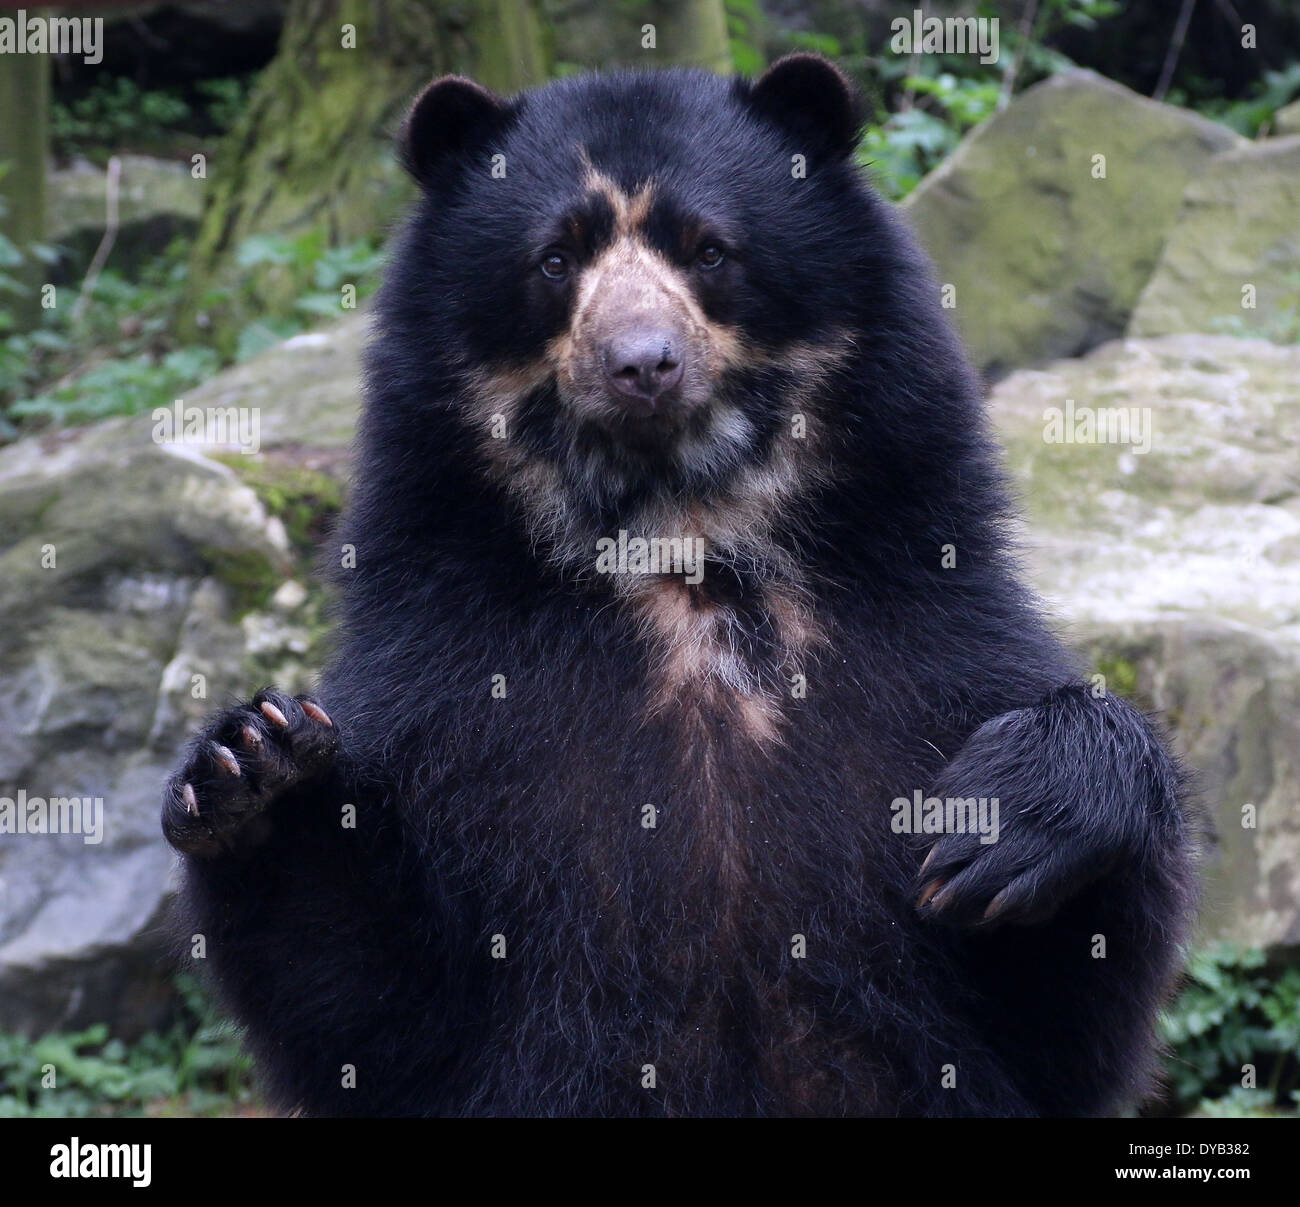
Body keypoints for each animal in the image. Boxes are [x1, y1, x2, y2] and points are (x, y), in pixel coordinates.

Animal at [162, 54, 1198, 1117]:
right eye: (555, 260)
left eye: (709, 250)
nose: (643, 363)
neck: (684, 548)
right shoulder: (445, 689)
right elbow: (370, 1007)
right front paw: (253, 765)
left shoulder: (928, 646)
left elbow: (1067, 1009)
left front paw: (1003, 821)